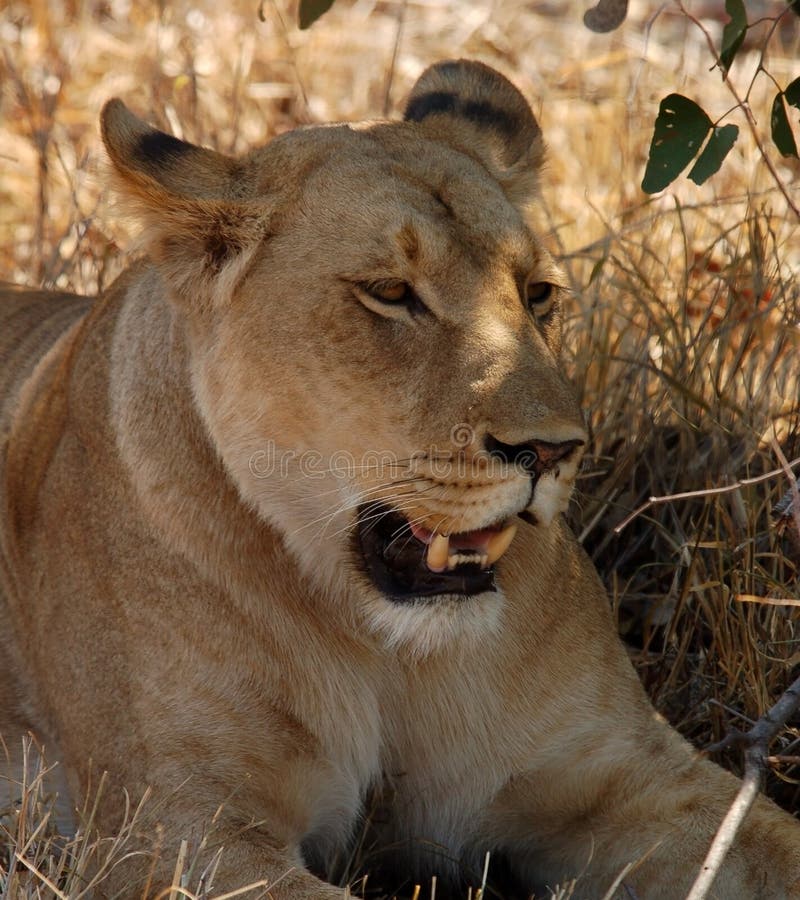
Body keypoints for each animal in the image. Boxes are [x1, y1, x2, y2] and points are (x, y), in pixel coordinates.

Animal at [1, 59, 799, 899]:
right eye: (390, 293)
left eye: (537, 293)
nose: (554, 451)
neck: (381, 649)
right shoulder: (172, 836)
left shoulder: (626, 771)